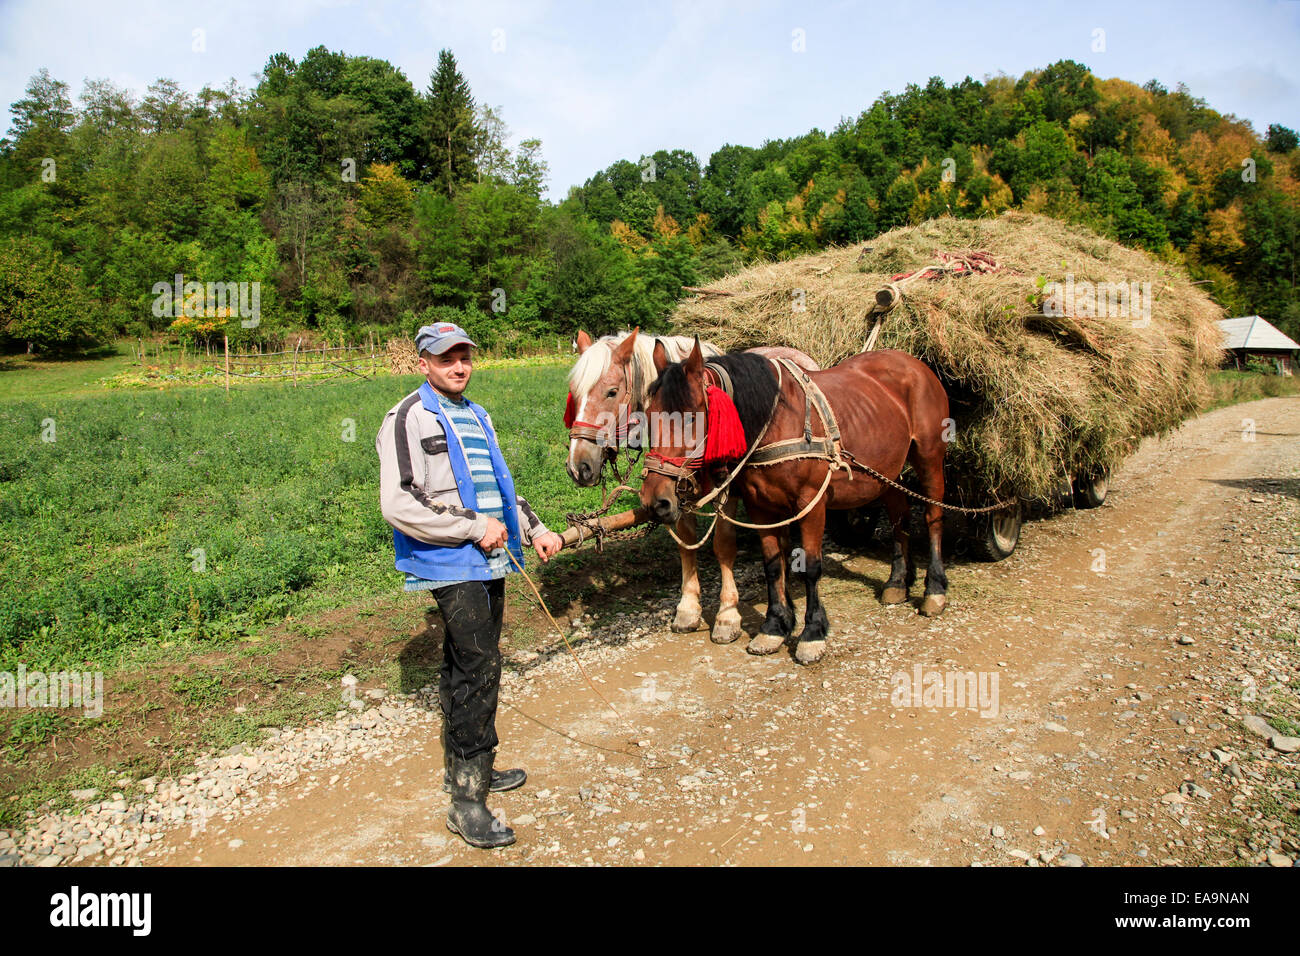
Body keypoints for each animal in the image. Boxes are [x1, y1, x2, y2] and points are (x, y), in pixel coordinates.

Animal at [565, 329, 818, 644]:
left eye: (611, 392)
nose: (579, 466)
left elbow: (724, 545)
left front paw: (727, 615)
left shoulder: (727, 492)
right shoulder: (675, 490)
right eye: (574, 394)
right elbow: (686, 543)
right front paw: (687, 608)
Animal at [638, 339, 951, 664]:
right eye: (649, 417)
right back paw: (898, 582)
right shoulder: (761, 508)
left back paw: (934, 590)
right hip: (888, 470)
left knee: (933, 518)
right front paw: (775, 627)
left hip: (929, 458)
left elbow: (810, 567)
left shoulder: (811, 504)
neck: (775, 422)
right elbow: (773, 566)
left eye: (691, 418)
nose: (655, 501)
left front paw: (812, 633)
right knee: (899, 517)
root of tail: (914, 363)